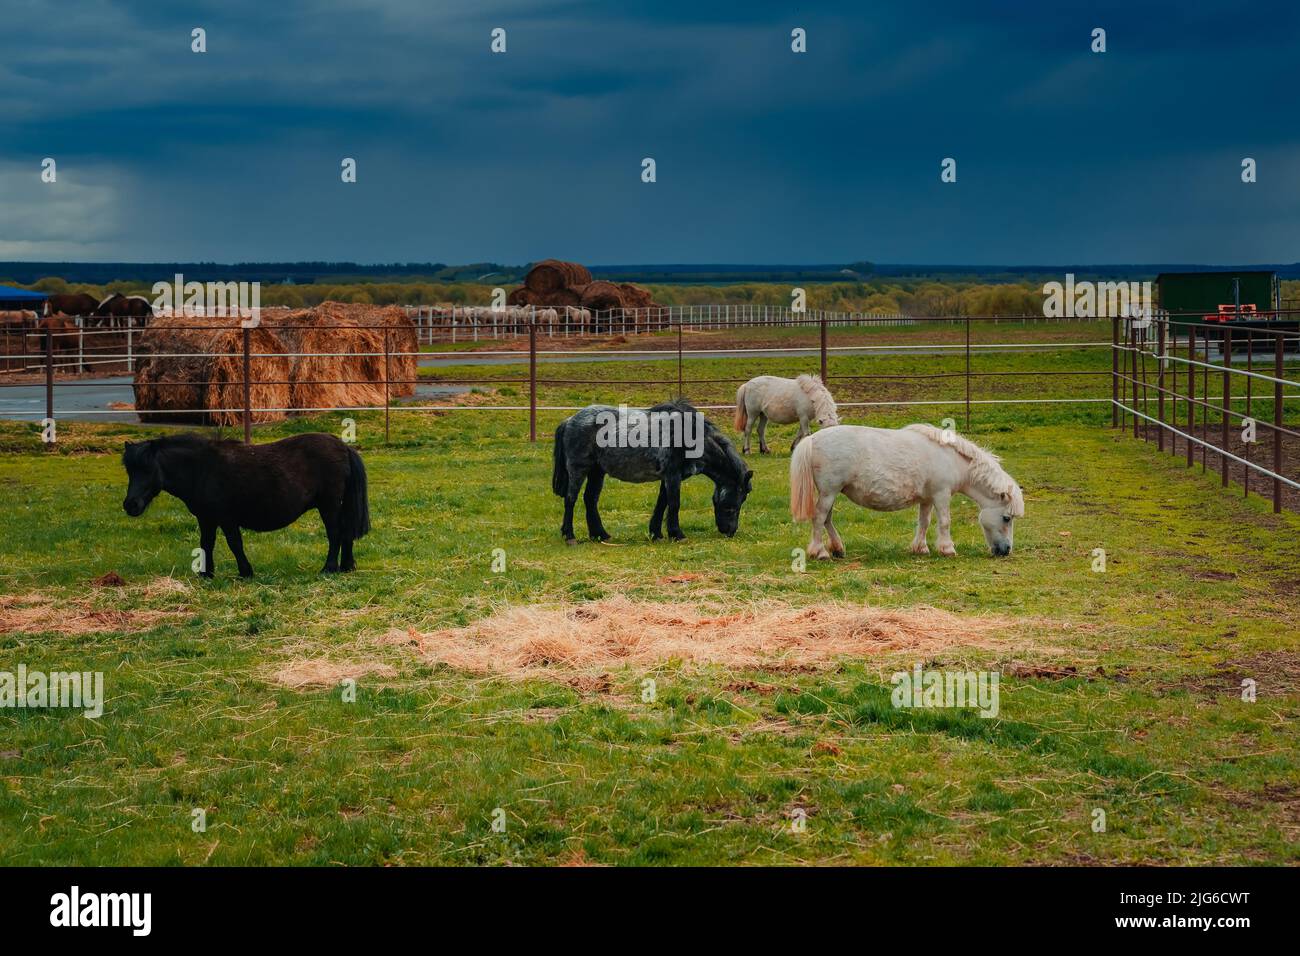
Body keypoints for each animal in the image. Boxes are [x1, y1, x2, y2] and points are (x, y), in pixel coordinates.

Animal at [121, 433, 370, 577]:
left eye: (147, 469)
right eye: (129, 470)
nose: (130, 505)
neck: (202, 468)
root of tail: (343, 447)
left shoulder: (226, 518)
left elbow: (235, 544)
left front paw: (245, 572)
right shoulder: (206, 518)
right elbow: (206, 544)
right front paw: (206, 573)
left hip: (329, 506)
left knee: (336, 533)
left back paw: (329, 568)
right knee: (346, 533)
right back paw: (347, 566)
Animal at [552, 399, 753, 543]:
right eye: (733, 505)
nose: (730, 531)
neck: (688, 436)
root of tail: (569, 421)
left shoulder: (669, 477)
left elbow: (662, 504)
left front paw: (656, 533)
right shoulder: (672, 475)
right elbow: (674, 503)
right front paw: (677, 534)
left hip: (597, 471)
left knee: (590, 499)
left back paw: (600, 534)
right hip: (578, 469)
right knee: (571, 499)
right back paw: (569, 536)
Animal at [790, 423, 1024, 560]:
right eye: (1006, 518)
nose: (1006, 550)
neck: (951, 458)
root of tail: (812, 439)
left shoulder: (927, 498)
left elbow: (924, 522)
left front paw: (920, 548)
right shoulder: (942, 495)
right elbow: (944, 522)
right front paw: (947, 549)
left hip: (830, 493)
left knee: (827, 519)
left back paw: (837, 549)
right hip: (829, 492)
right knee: (819, 518)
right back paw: (820, 552)